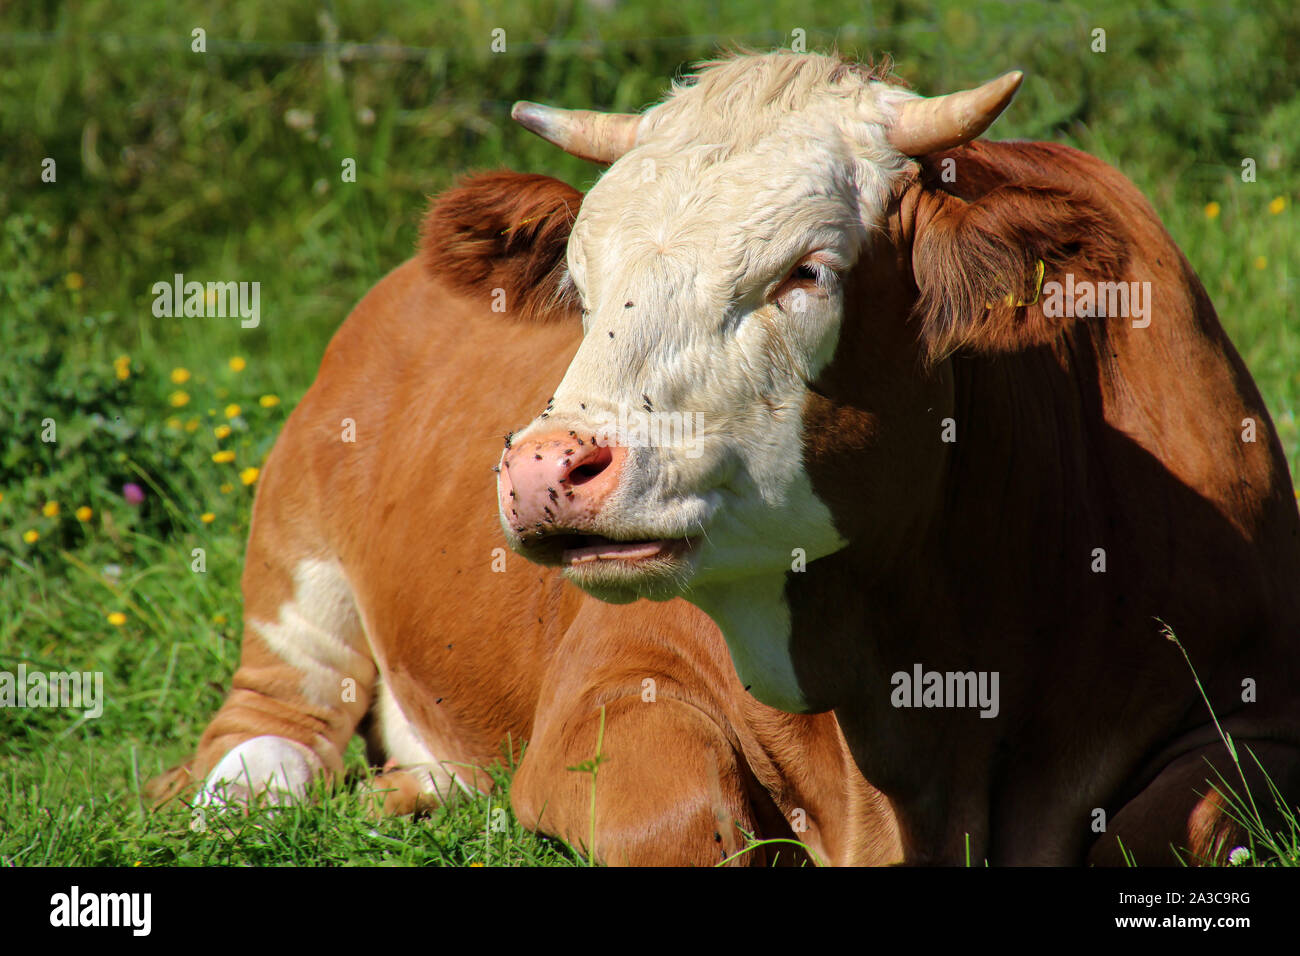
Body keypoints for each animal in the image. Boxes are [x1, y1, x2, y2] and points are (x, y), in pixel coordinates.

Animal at [497, 50, 1300, 865]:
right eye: (581, 288)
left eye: (806, 272)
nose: (543, 468)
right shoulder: (611, 690)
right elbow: (691, 821)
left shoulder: (1263, 714)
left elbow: (1169, 828)